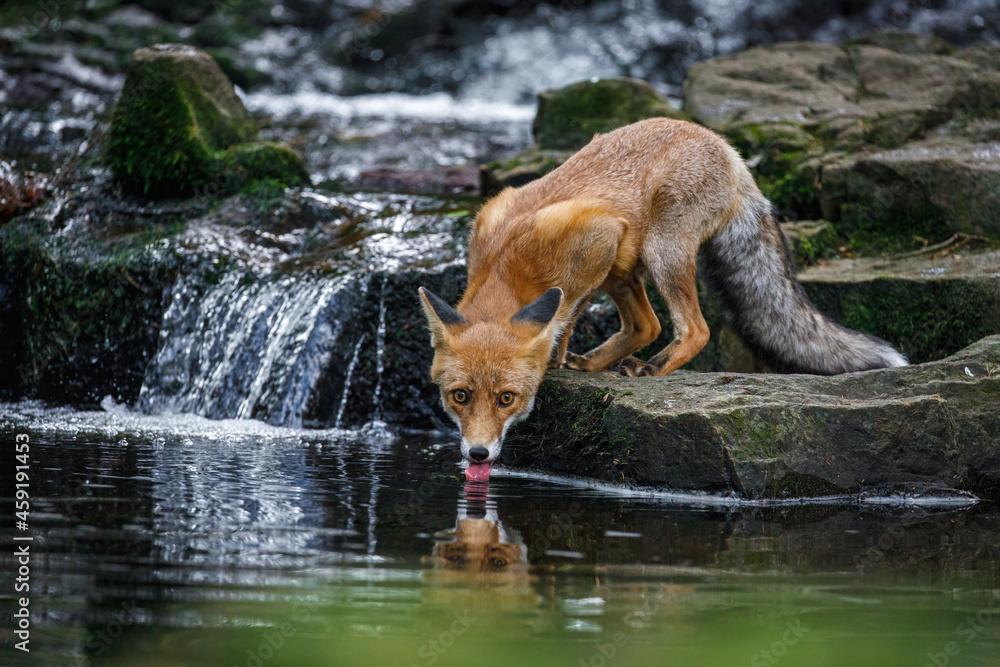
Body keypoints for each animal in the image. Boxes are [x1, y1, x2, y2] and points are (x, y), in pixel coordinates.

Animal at [419, 118, 907, 481]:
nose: (478, 454)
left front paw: (552, 355)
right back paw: (598, 363)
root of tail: (728, 150)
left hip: (660, 252)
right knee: (646, 325)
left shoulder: (598, 239)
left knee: (695, 329)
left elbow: (566, 312)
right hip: (626, 268)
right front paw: (559, 357)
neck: (506, 267)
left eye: (507, 398)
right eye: (459, 396)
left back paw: (652, 367)